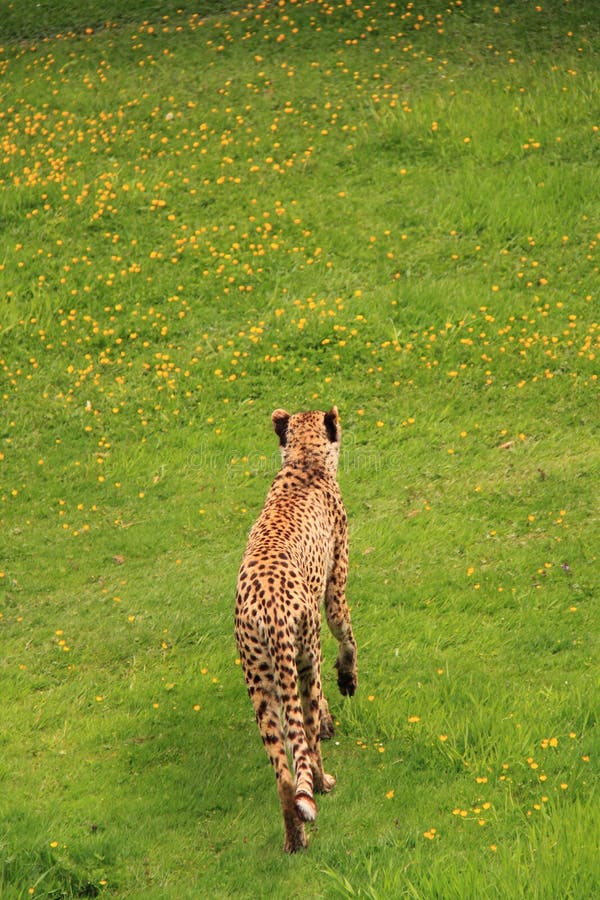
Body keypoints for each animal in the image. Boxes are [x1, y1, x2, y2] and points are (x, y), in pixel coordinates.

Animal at [234, 406, 358, 852]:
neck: (305, 463)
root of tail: (268, 608)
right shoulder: (335, 587)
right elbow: (346, 635)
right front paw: (348, 680)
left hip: (260, 685)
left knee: (285, 777)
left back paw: (295, 838)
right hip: (303, 656)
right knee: (306, 736)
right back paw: (323, 783)